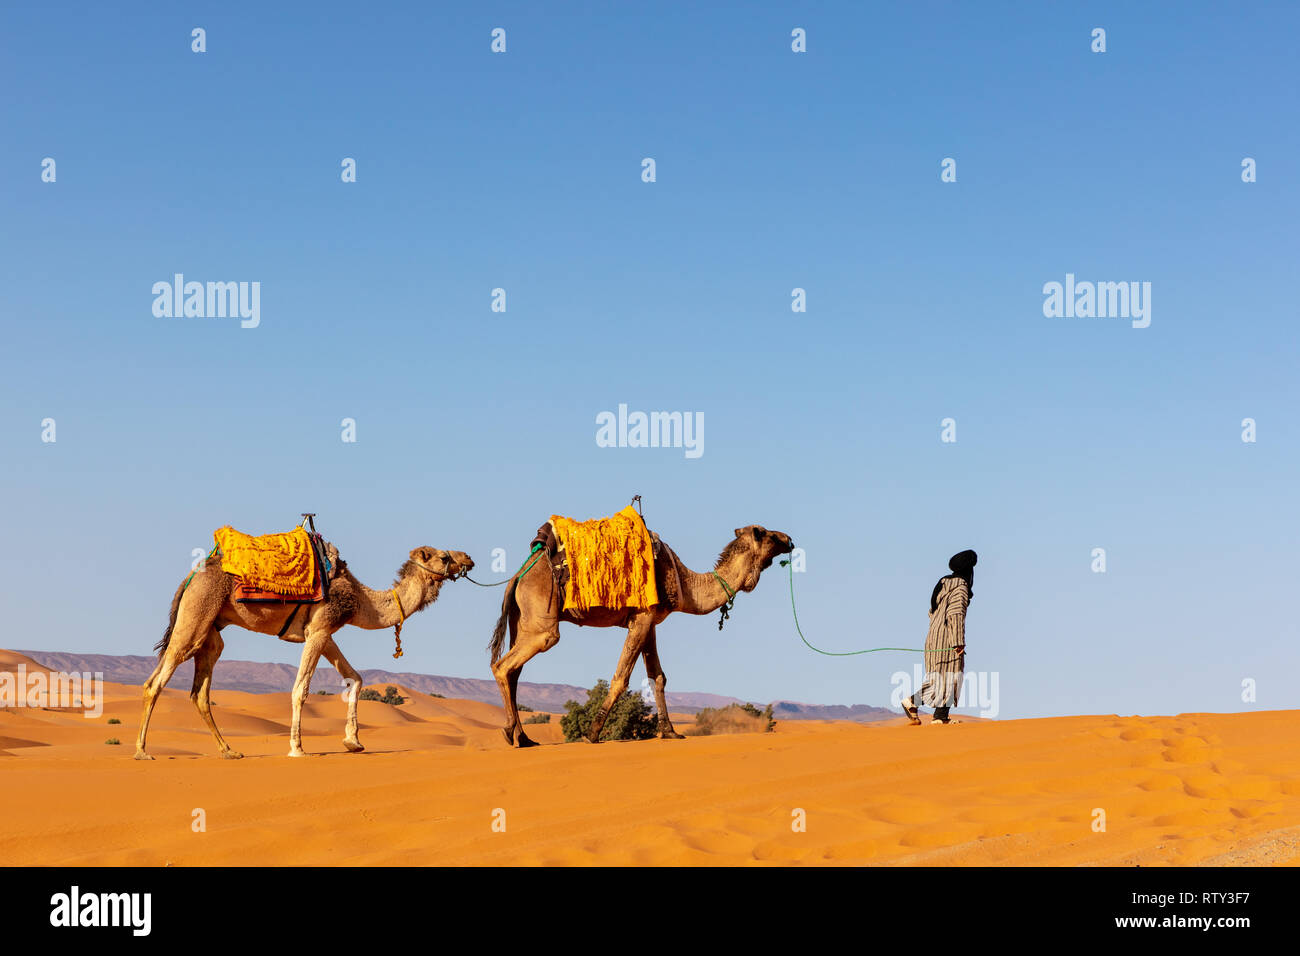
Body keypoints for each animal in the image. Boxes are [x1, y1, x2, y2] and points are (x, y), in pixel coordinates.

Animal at [135, 544, 473, 759]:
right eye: (444, 556)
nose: (469, 558)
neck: (361, 600)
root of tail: (191, 577)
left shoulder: (323, 632)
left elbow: (356, 679)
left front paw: (353, 742)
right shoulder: (321, 628)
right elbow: (300, 689)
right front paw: (297, 748)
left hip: (211, 631)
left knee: (199, 692)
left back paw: (229, 751)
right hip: (196, 615)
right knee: (157, 680)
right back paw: (142, 751)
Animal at [488, 524, 793, 747]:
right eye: (766, 533)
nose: (789, 538)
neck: (684, 582)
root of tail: (518, 576)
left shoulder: (650, 621)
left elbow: (658, 677)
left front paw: (670, 732)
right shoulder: (642, 618)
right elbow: (621, 677)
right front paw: (592, 733)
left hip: (522, 621)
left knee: (513, 671)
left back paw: (524, 738)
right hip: (543, 624)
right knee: (503, 666)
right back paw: (509, 731)